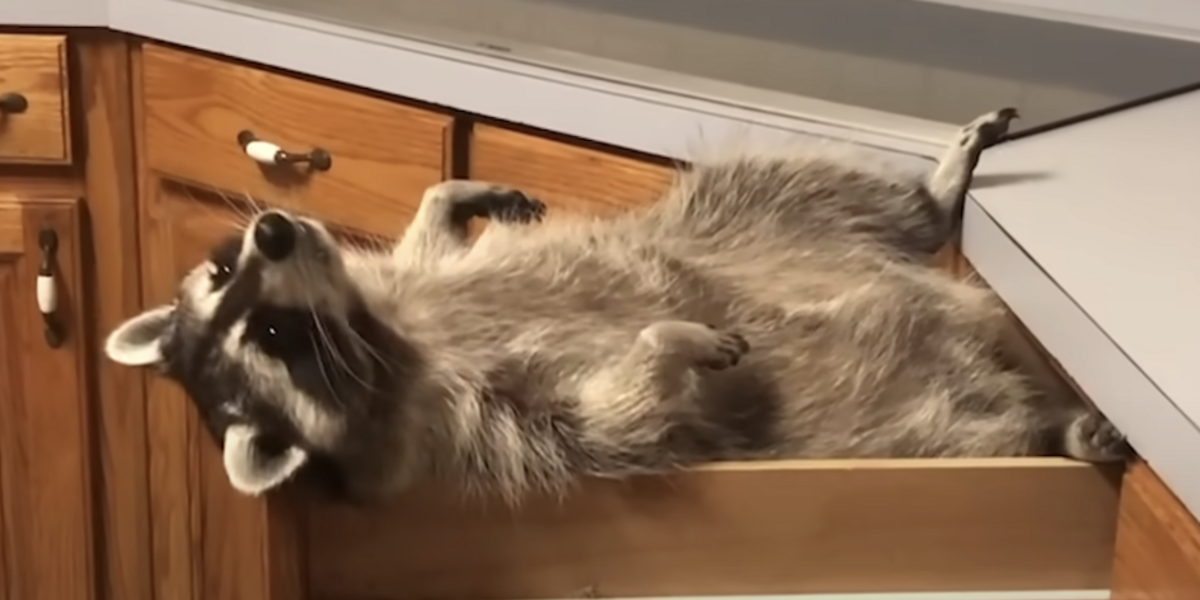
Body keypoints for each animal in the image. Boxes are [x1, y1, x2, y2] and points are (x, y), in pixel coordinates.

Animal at [104, 108, 1129, 503]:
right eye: (276, 336)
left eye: (220, 264)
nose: (273, 230)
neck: (379, 326)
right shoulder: (472, 430)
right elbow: (618, 413)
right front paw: (661, 340)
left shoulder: (402, 281)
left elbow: (427, 237)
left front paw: (452, 197)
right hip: (916, 436)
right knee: (990, 433)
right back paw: (1055, 428)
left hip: (751, 213)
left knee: (806, 184)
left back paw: (935, 197)